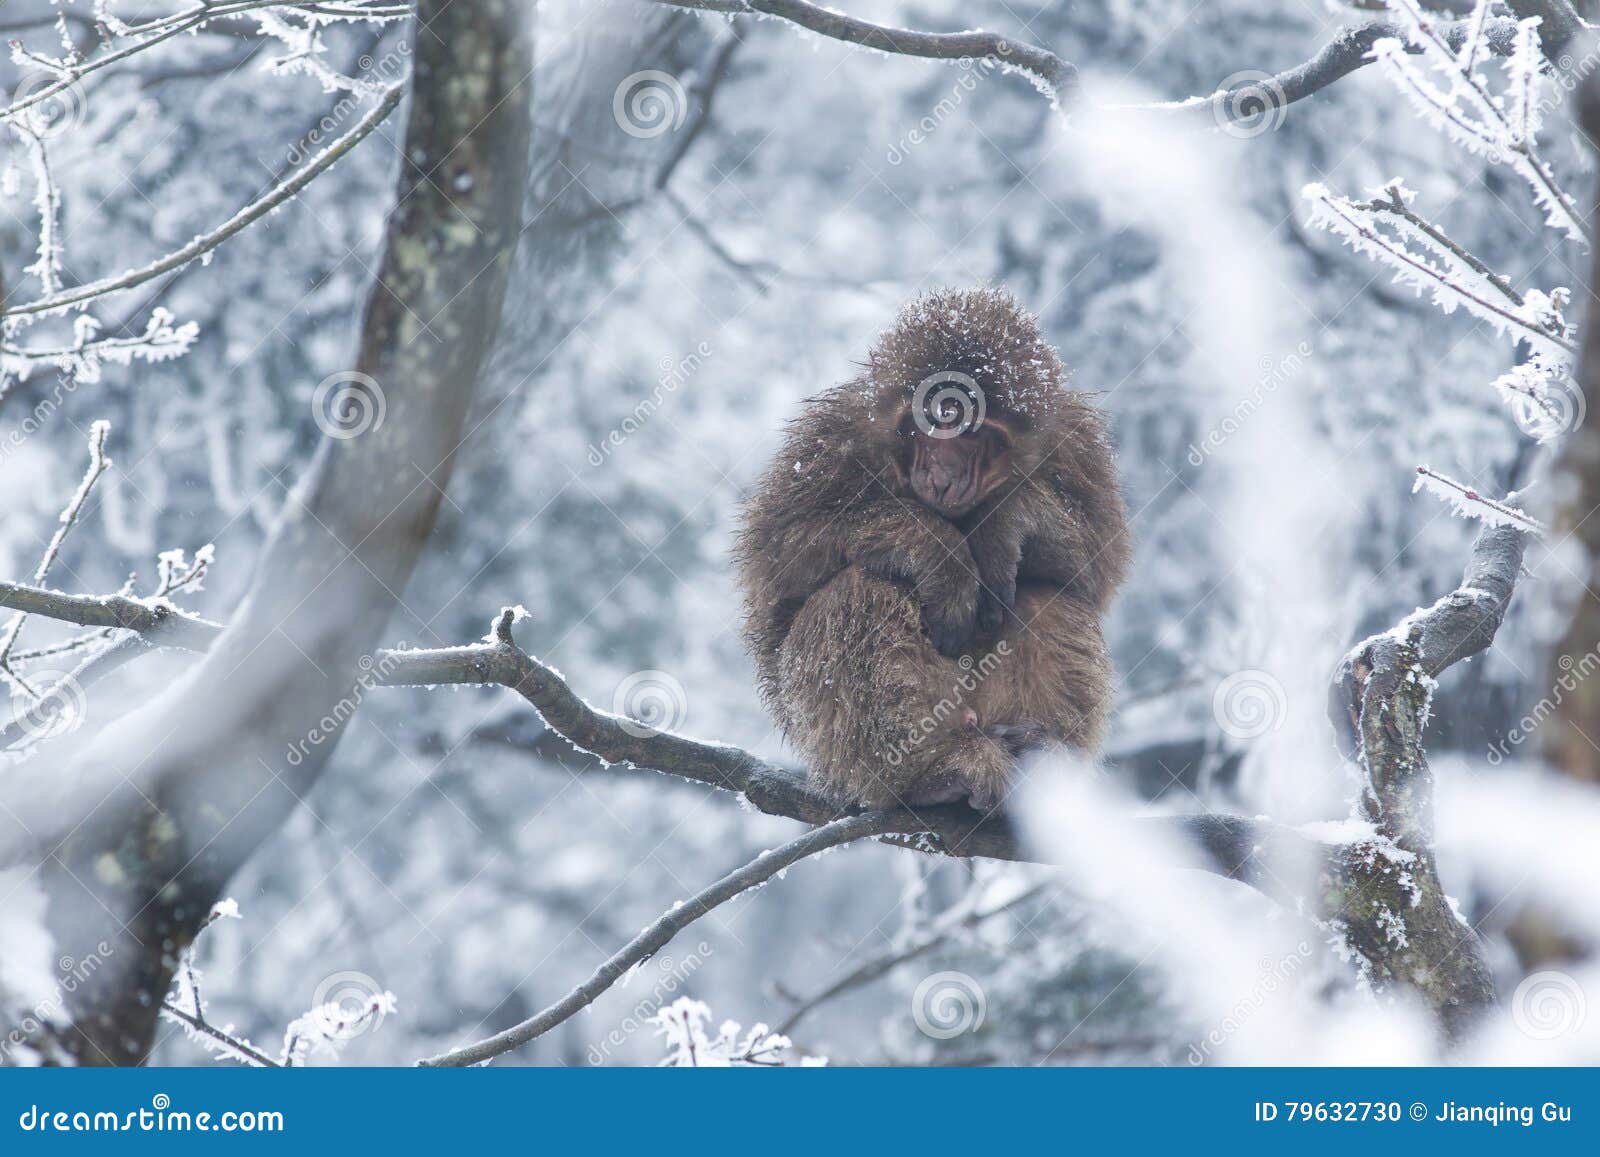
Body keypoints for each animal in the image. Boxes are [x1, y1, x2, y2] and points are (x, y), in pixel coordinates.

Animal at [734, 287, 1130, 812]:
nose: (943, 475)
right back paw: (932, 771)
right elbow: (780, 558)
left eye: (976, 433)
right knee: (855, 591)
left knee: (1043, 596)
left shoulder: (1076, 445)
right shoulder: (832, 441)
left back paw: (1039, 757)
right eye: (933, 423)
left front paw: (1004, 522)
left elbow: (1098, 560)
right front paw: (939, 552)